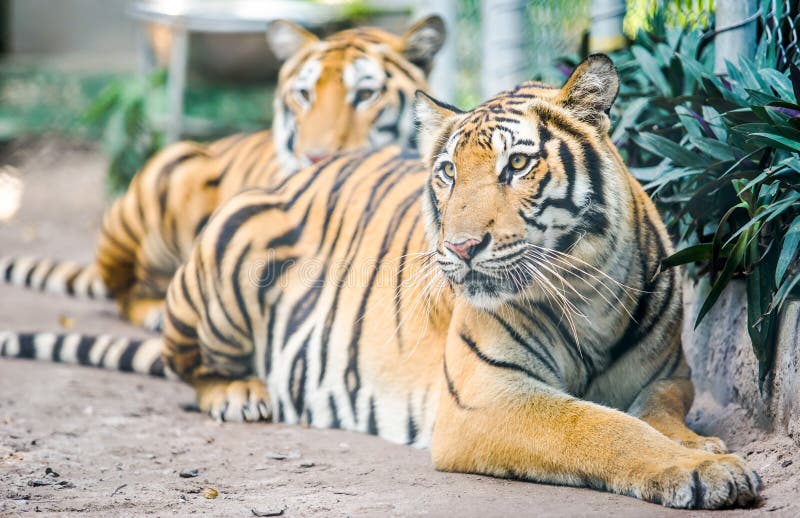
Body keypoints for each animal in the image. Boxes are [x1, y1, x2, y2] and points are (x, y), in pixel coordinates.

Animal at [0, 15, 445, 330]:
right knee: (127, 291)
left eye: (365, 94)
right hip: (173, 171)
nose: (315, 158)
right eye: (304, 94)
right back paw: (158, 312)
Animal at [0, 54, 760, 509]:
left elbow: (653, 412)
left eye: (517, 166)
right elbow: (600, 427)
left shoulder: (667, 375)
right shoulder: (487, 397)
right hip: (224, 264)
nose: (460, 248)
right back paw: (243, 394)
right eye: (448, 172)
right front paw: (703, 472)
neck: (586, 292)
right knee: (188, 365)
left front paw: (700, 448)